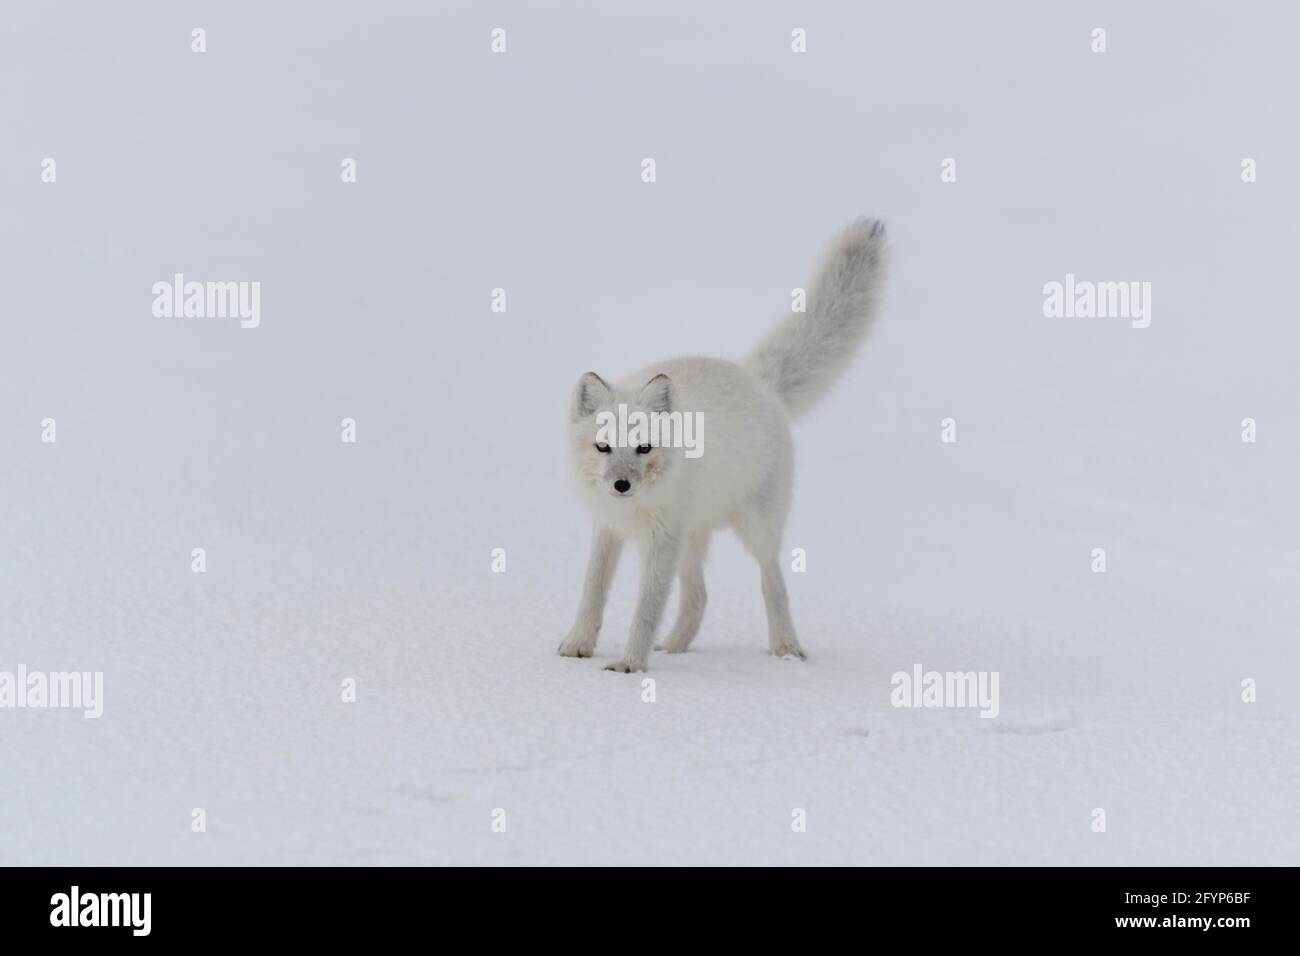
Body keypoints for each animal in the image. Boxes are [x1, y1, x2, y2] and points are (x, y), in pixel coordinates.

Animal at [560, 217, 888, 672]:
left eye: (644, 447)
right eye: (603, 446)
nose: (621, 486)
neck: (634, 508)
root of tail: (758, 380)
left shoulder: (661, 538)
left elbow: (646, 609)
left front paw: (629, 666)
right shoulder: (609, 529)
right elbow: (592, 593)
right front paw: (578, 645)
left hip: (755, 526)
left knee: (772, 581)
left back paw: (787, 648)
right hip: (692, 537)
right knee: (699, 598)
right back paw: (674, 646)